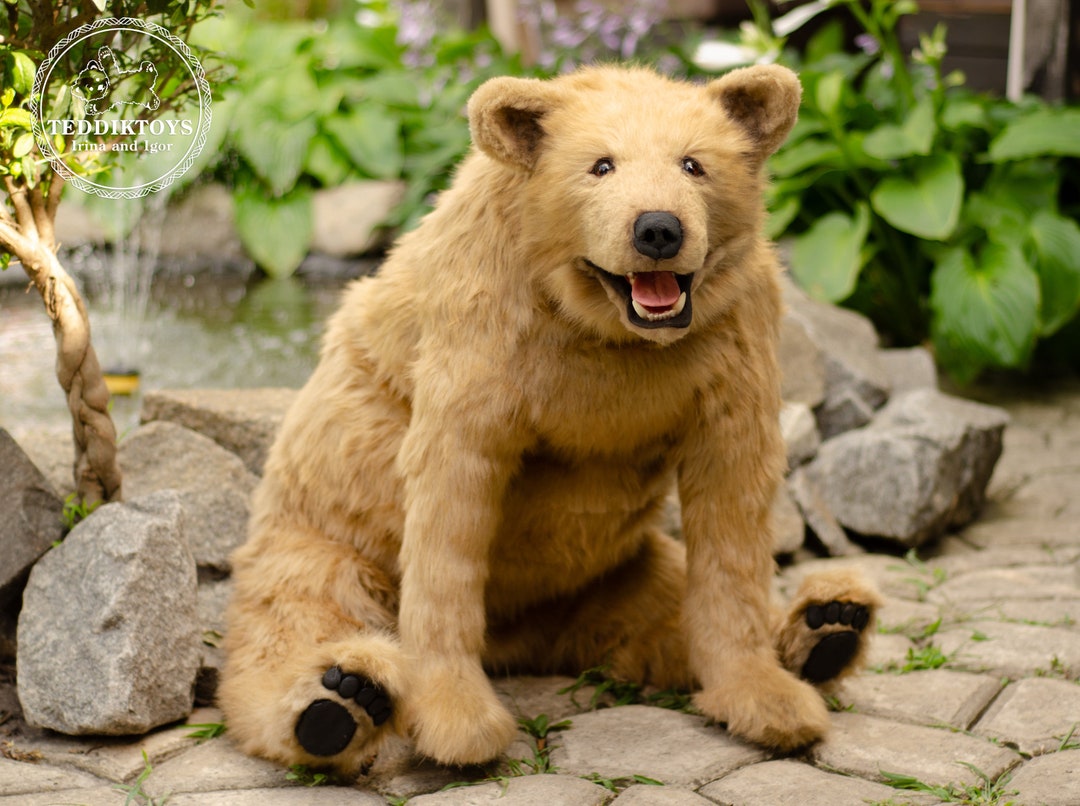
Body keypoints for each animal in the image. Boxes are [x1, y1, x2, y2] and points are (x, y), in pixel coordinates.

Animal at [218, 63, 882, 776]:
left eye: (694, 163)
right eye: (600, 165)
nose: (658, 229)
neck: (601, 320)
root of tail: (526, 641)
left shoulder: (731, 338)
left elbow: (732, 514)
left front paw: (771, 702)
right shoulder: (487, 328)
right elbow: (449, 512)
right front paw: (457, 723)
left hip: (616, 568)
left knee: (662, 607)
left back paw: (828, 625)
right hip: (319, 532)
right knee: (303, 610)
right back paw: (340, 701)